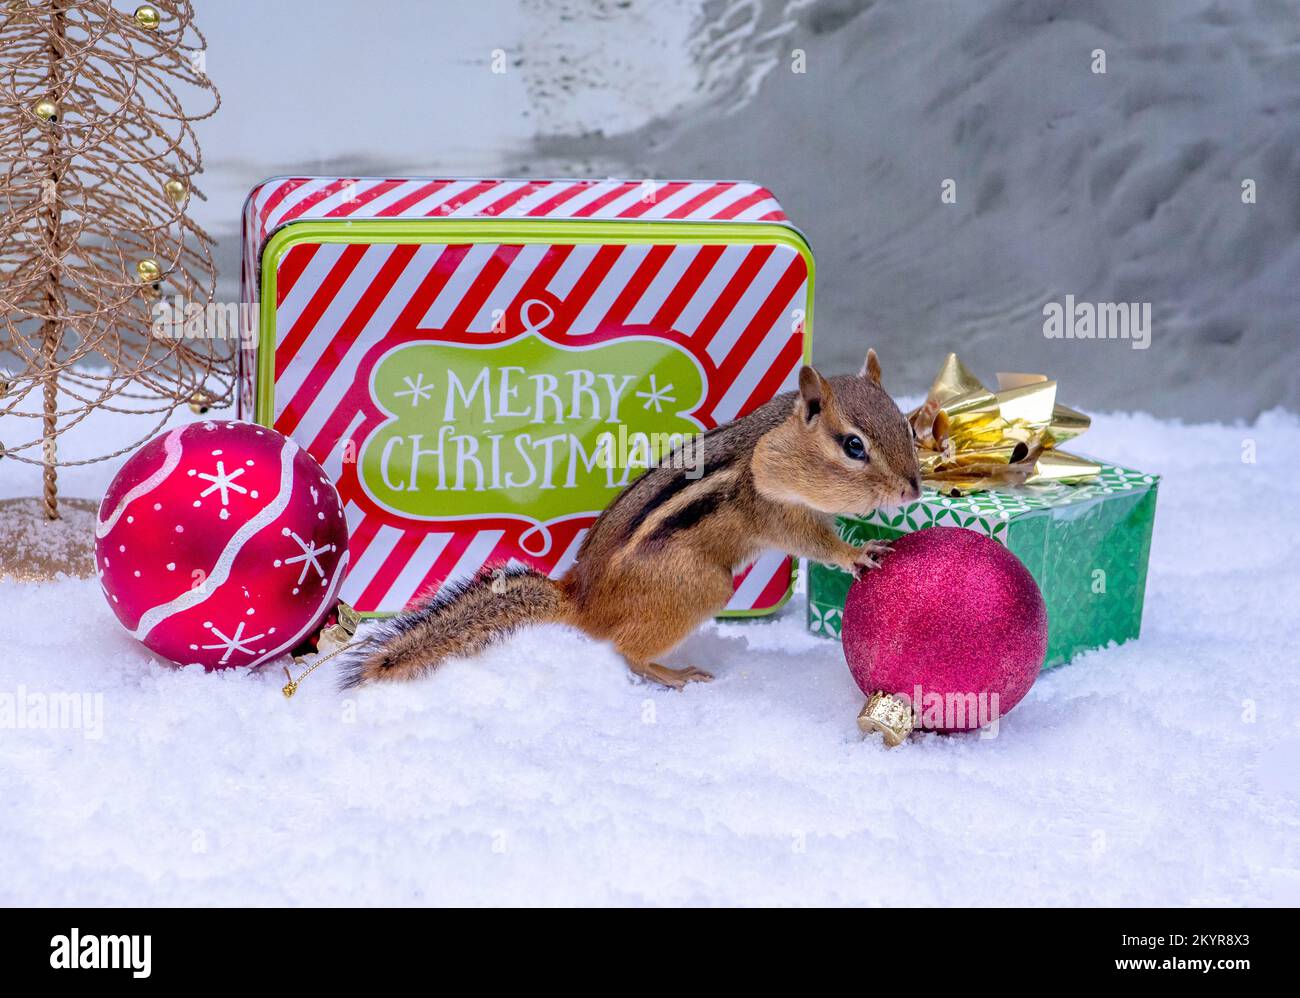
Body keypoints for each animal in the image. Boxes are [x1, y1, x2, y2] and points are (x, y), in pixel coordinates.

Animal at [338, 349, 922, 690]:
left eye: (908, 427)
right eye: (853, 446)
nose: (913, 488)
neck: (777, 443)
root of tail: (580, 598)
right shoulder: (773, 508)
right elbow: (811, 540)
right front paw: (858, 552)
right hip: (706, 587)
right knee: (626, 650)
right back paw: (673, 673)